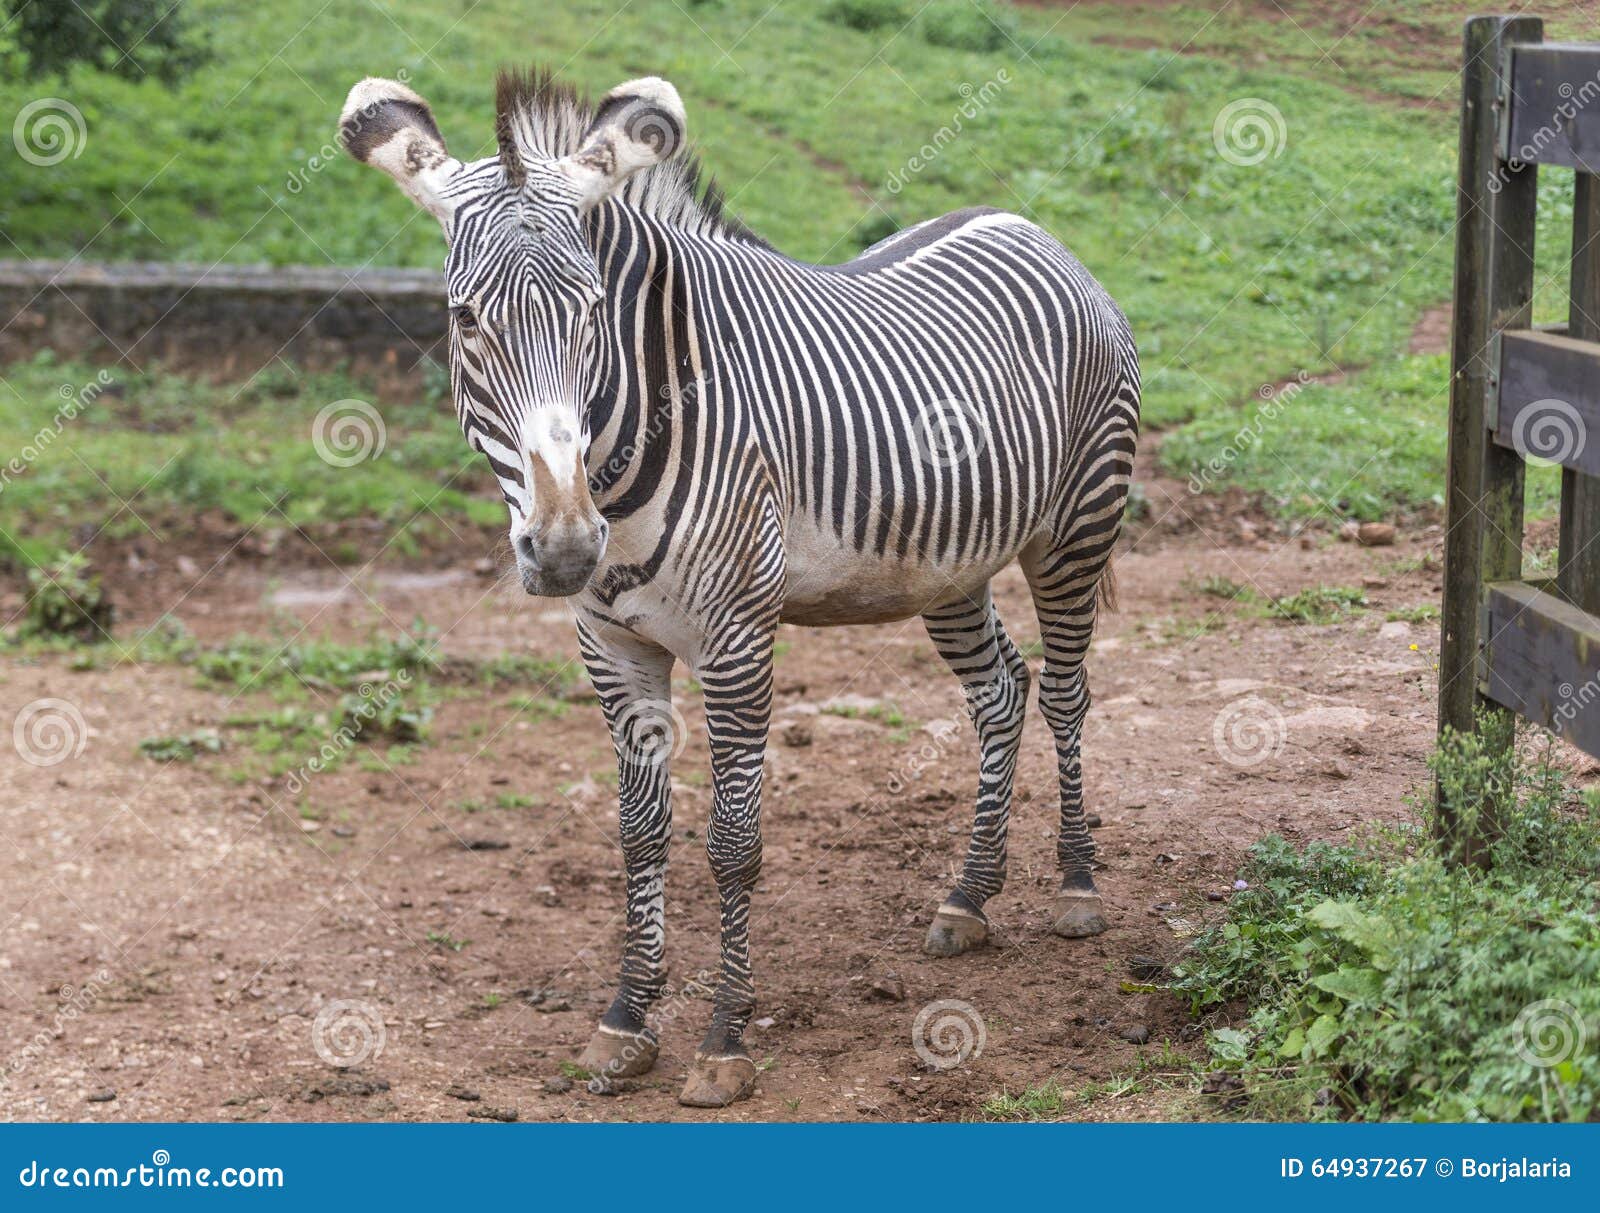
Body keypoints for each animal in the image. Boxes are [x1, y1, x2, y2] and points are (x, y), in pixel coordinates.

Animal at [339, 69, 1139, 1108]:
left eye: (592, 311)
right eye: (467, 319)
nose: (564, 549)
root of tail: (1031, 226)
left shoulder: (736, 637)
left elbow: (732, 842)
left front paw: (724, 1040)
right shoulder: (614, 645)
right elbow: (640, 833)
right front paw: (625, 1021)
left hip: (1077, 526)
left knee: (1070, 692)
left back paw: (1078, 887)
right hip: (950, 560)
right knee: (1003, 691)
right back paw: (968, 897)